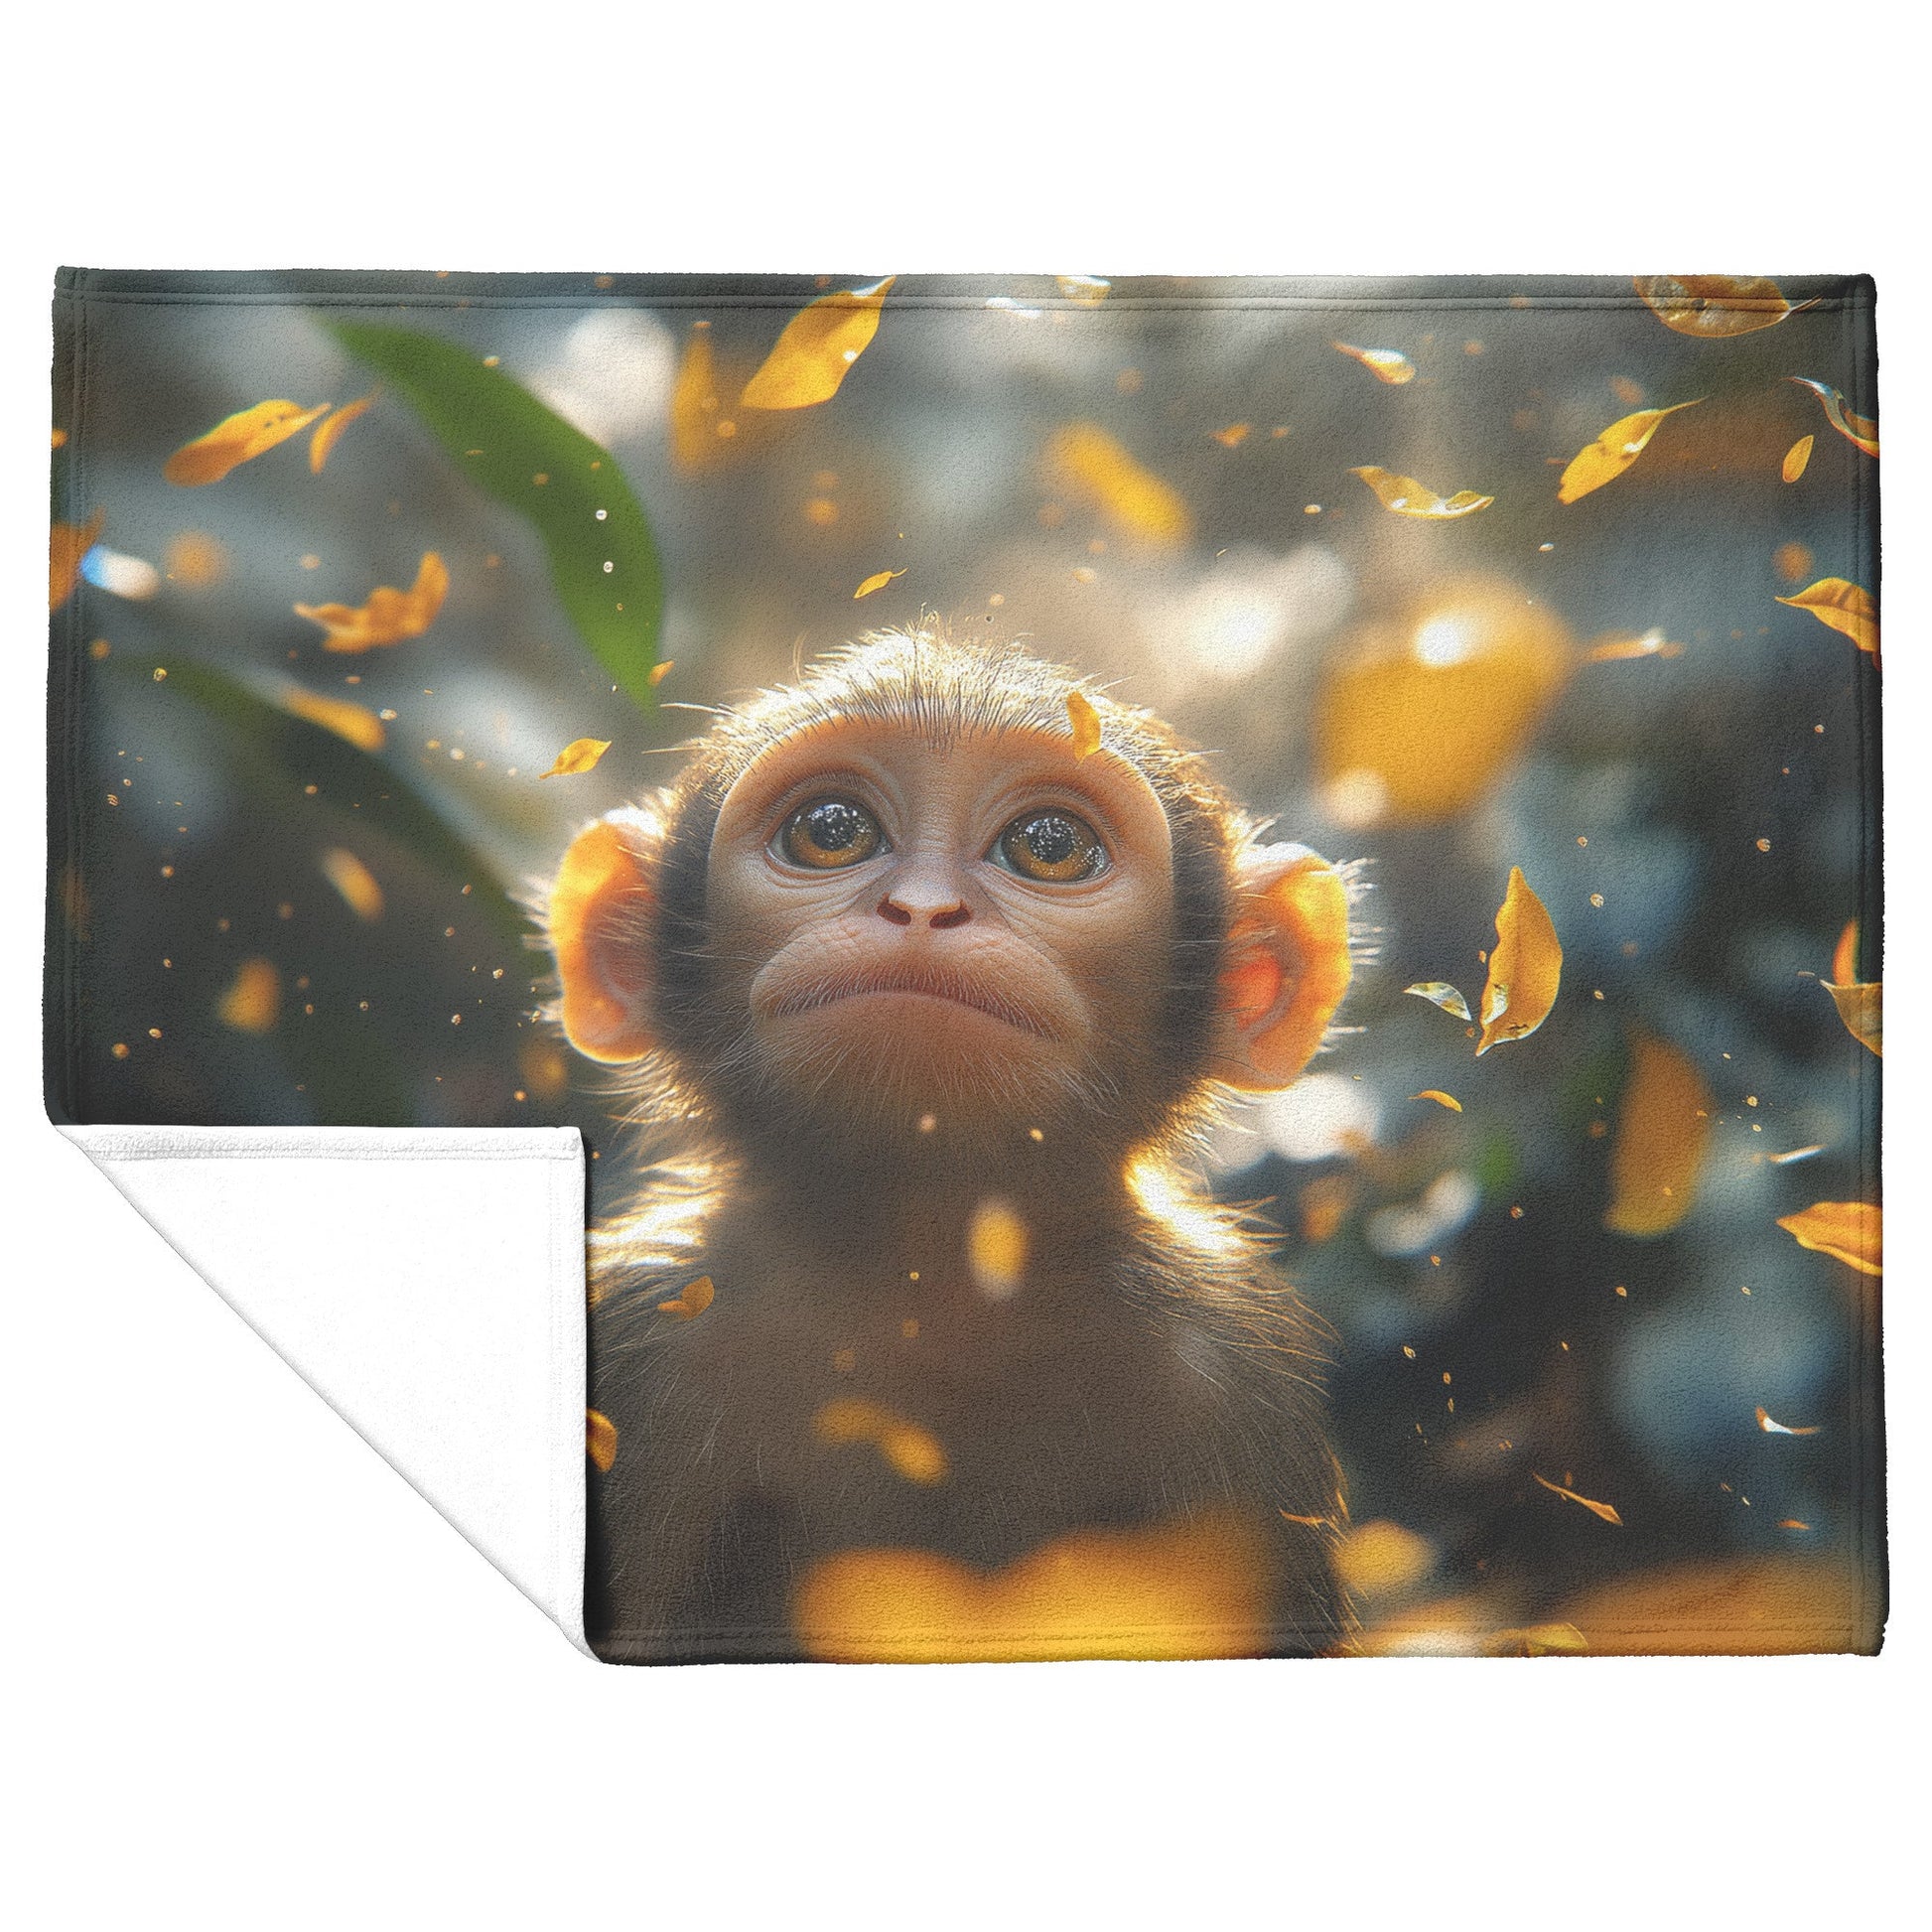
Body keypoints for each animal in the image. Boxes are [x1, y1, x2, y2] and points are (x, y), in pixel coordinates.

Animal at [546, 624, 1360, 1661]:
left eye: (1050, 846)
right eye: (832, 830)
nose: (924, 907)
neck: (930, 1287)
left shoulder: (1232, 1374)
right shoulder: (641, 1327)